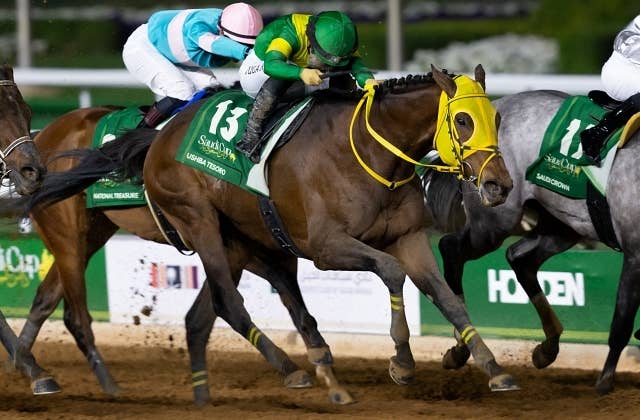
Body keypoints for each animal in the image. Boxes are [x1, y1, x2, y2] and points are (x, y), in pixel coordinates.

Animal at [16, 65, 517, 402]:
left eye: (495, 119)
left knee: (189, 314)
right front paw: (402, 362)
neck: (370, 152)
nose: (499, 185)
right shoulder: (326, 247)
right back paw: (291, 370)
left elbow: (447, 297)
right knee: (223, 303)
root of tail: (157, 140)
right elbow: (391, 273)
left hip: (205, 239)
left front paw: (491, 367)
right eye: (463, 121)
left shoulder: (410, 238)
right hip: (186, 221)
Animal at [425, 89, 640, 395]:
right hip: (494, 220)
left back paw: (547, 348)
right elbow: (621, 322)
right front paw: (605, 382)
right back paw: (460, 349)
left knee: (520, 257)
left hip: (562, 223)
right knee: (451, 248)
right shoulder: (634, 253)